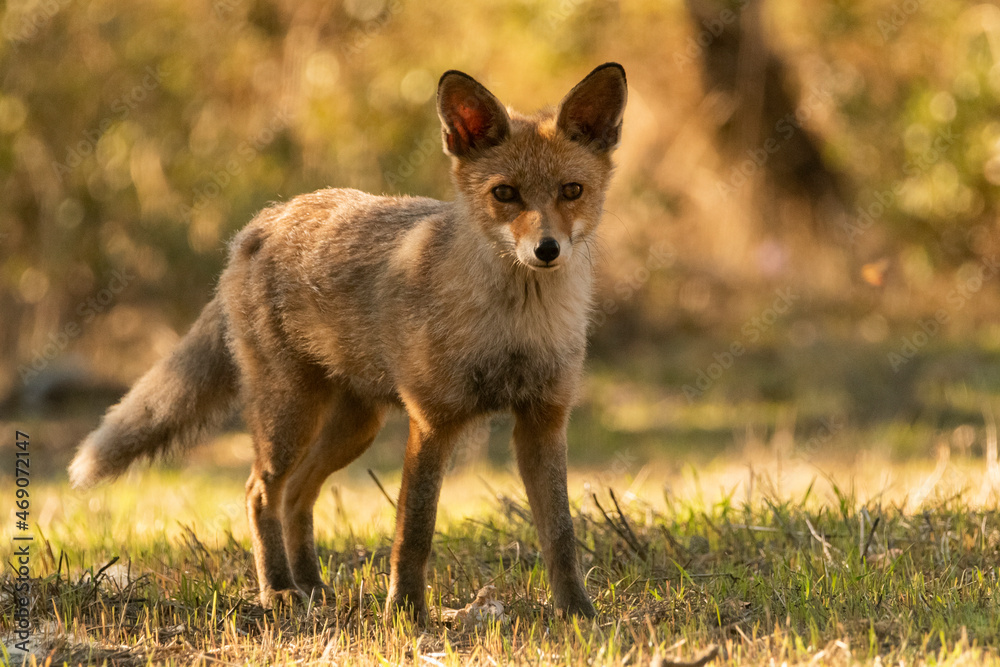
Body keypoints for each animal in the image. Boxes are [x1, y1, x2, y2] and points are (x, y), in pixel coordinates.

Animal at [69, 62, 628, 621]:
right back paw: (278, 590)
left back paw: (312, 584)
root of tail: (264, 219)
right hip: (289, 417)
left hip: (355, 427)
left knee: (297, 495)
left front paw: (578, 614)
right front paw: (405, 613)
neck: (513, 328)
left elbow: (561, 534)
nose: (547, 250)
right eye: (505, 194)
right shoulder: (432, 422)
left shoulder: (543, 420)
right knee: (260, 493)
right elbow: (415, 531)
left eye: (572, 190)